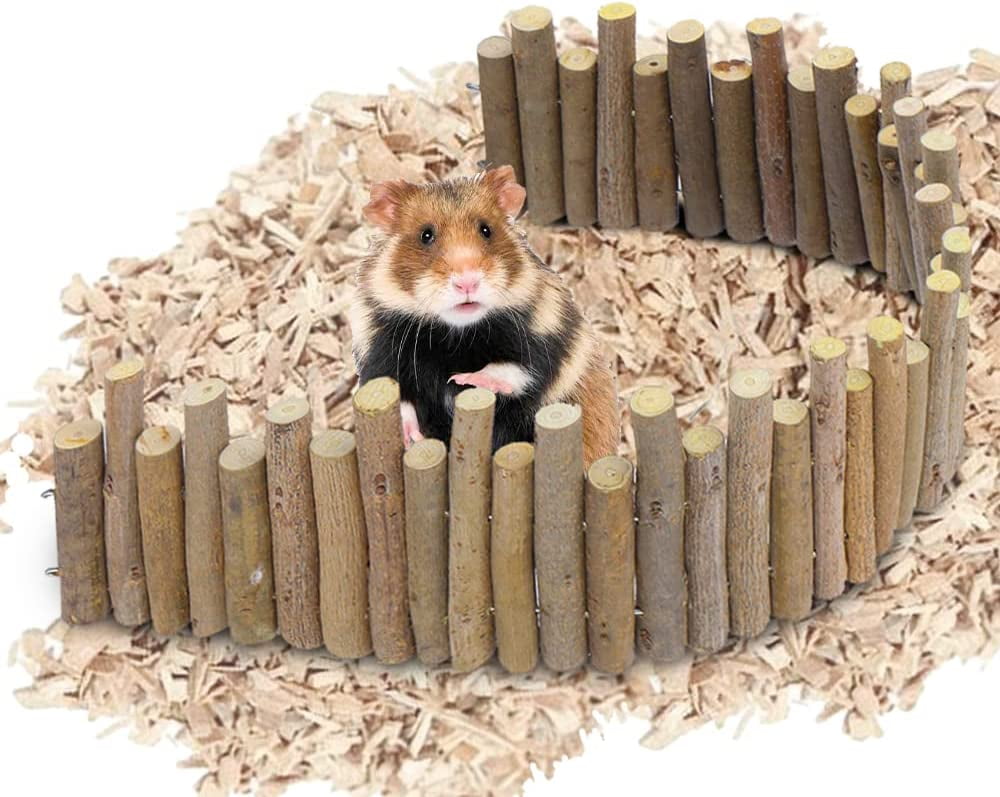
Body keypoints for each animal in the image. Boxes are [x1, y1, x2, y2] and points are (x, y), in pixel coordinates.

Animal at [349, 165, 618, 465]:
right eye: (426, 235)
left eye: (486, 230)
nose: (467, 282)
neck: (456, 333)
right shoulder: (380, 351)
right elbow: (400, 398)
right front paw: (413, 436)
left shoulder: (546, 337)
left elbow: (515, 370)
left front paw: (462, 379)